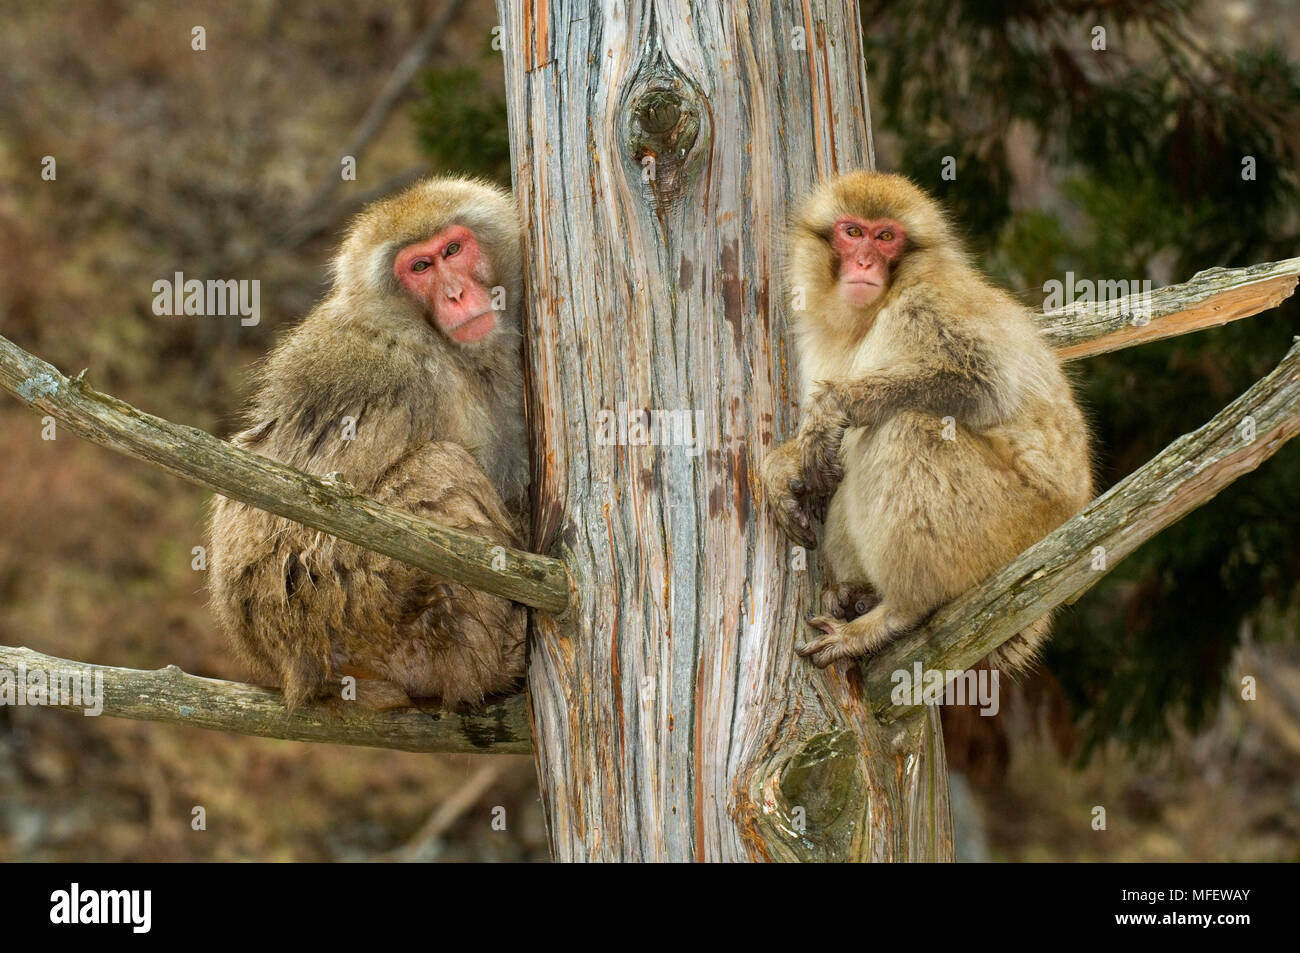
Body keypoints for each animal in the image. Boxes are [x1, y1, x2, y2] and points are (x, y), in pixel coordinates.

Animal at [208, 176, 529, 711]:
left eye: (452, 249)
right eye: (420, 267)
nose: (457, 293)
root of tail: (295, 673)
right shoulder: (393, 373)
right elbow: (277, 523)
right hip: (350, 608)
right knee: (440, 468)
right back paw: (496, 664)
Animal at [761, 171, 1092, 673]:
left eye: (886, 237)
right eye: (852, 231)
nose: (864, 261)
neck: (871, 315)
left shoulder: (927, 300)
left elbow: (982, 379)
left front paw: (833, 406)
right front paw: (784, 467)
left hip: (1009, 527)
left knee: (906, 427)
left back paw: (897, 613)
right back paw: (857, 593)